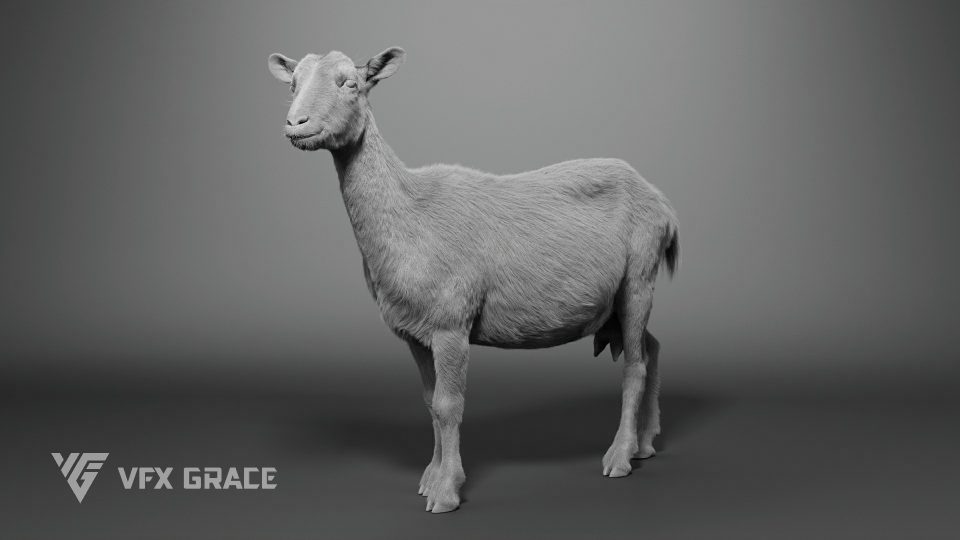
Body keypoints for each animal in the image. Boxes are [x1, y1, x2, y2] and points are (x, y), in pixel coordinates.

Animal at [268, 47, 679, 513]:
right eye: (292, 84)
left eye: (349, 83)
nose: (296, 123)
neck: (410, 213)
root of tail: (663, 205)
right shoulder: (415, 332)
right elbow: (429, 403)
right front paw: (430, 477)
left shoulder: (451, 323)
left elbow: (449, 404)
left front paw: (446, 491)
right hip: (621, 299)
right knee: (651, 348)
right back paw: (645, 443)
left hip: (639, 274)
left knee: (634, 367)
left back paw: (619, 456)